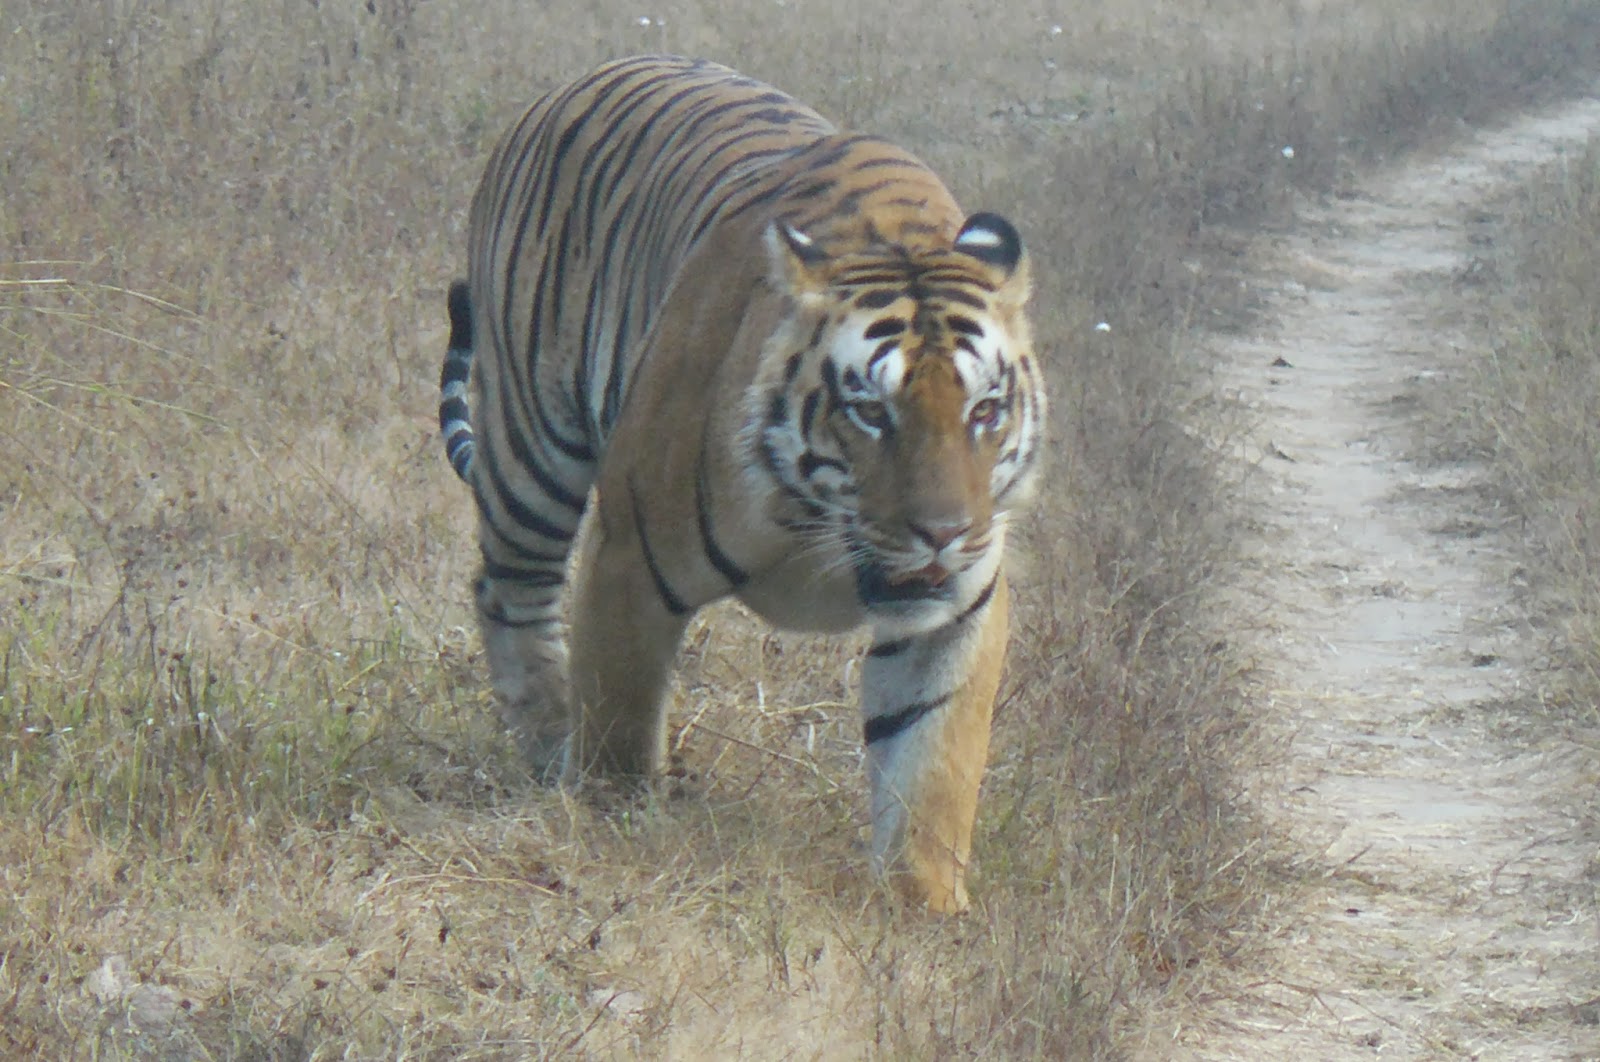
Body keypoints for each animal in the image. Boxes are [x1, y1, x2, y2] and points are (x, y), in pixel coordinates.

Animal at [438, 55, 1044, 912]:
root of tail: (566, 87)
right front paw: (610, 826)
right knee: (510, 591)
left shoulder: (959, 604)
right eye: (871, 411)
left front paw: (921, 904)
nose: (943, 533)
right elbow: (620, 711)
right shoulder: (630, 552)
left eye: (984, 409)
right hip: (532, 447)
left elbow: (934, 759)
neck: (820, 527)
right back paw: (551, 742)